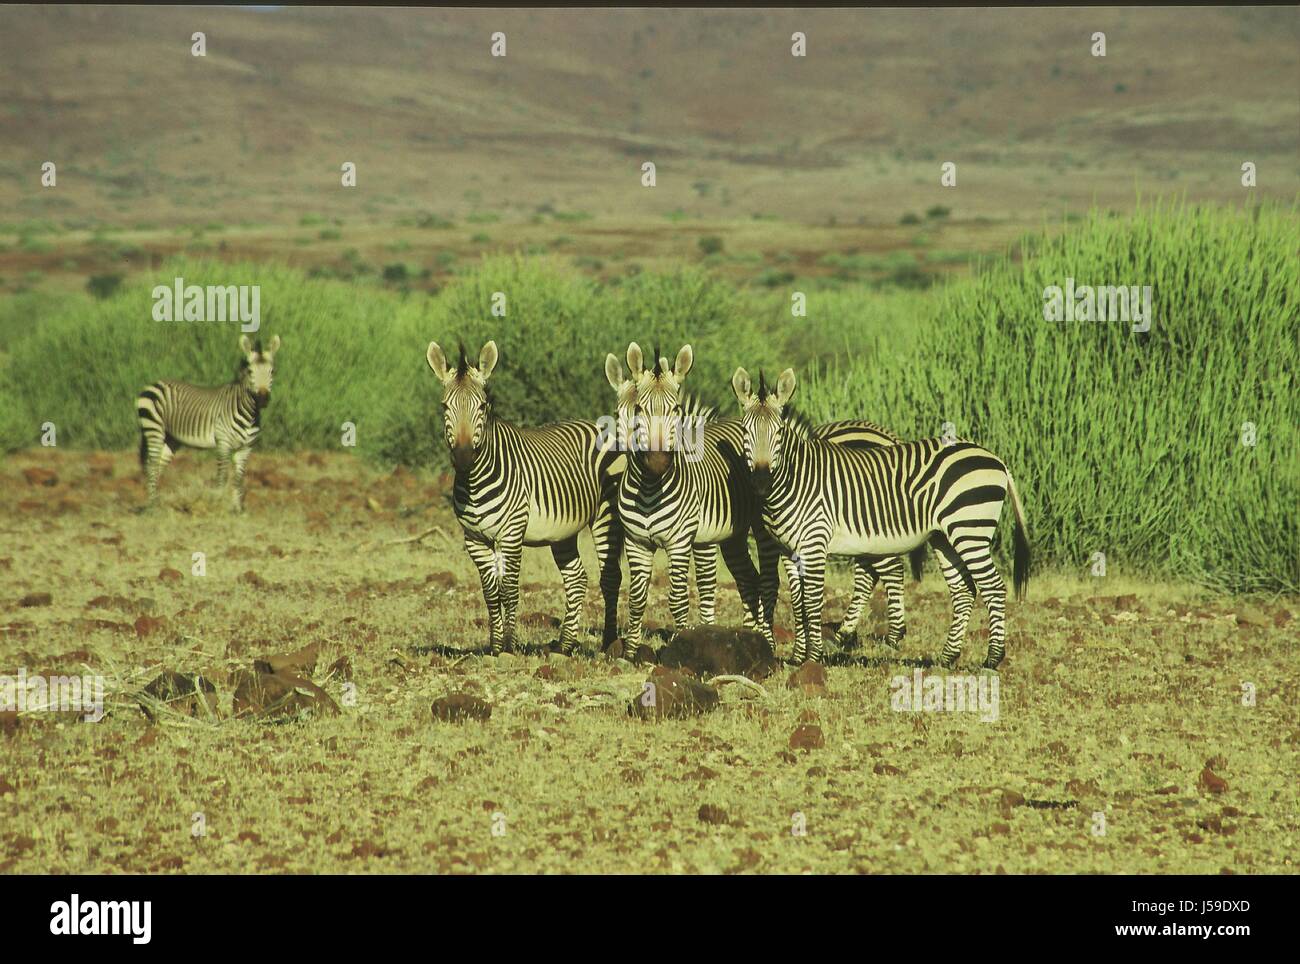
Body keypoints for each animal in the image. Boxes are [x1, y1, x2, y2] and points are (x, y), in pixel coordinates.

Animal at [136, 334, 280, 512]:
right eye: (250, 371)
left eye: (272, 371)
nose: (263, 398)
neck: (249, 413)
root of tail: (155, 383)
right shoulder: (223, 443)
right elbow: (222, 475)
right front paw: (219, 504)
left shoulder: (246, 448)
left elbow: (239, 478)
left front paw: (237, 509)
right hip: (153, 428)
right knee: (152, 464)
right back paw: (152, 507)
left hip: (171, 438)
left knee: (159, 465)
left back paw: (156, 503)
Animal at [427, 340, 622, 655]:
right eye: (445, 406)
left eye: (482, 406)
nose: (464, 458)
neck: (475, 481)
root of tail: (595, 425)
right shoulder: (474, 538)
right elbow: (490, 591)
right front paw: (494, 647)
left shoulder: (512, 532)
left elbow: (508, 588)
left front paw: (509, 646)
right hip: (562, 532)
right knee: (576, 578)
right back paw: (564, 646)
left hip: (606, 515)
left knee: (611, 576)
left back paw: (609, 643)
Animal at [731, 366, 1030, 669]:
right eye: (745, 431)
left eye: (779, 432)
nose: (761, 482)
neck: (796, 477)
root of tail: (996, 459)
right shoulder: (788, 549)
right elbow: (796, 599)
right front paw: (796, 656)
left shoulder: (814, 542)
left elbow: (812, 600)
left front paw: (813, 658)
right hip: (944, 536)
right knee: (964, 590)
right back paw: (947, 657)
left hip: (969, 529)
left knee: (993, 587)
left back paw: (992, 658)